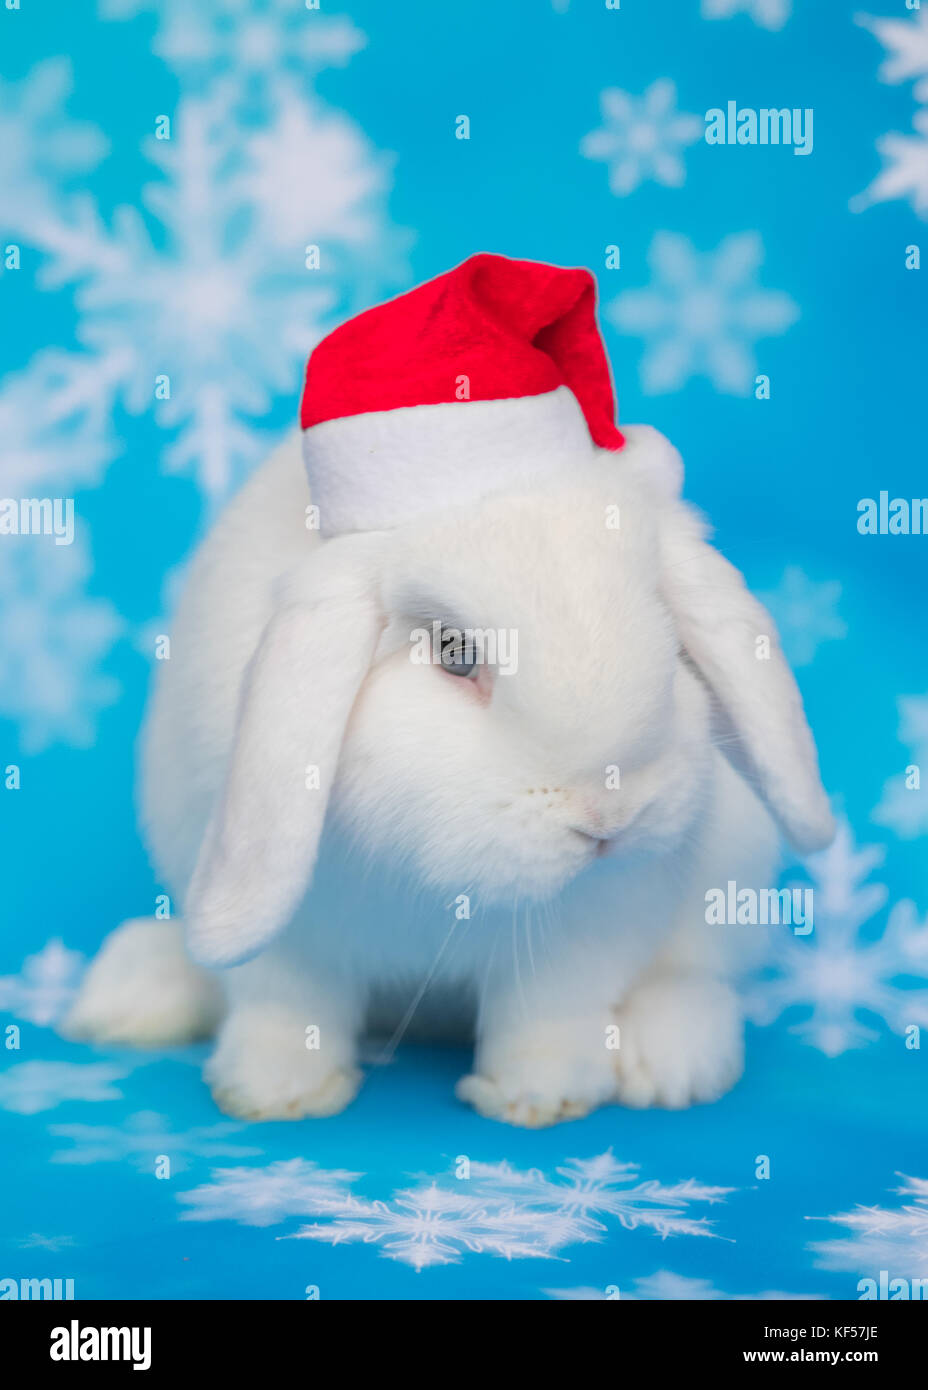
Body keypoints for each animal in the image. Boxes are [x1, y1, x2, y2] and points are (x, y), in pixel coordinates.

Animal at [63, 421, 834, 1127]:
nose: (612, 820)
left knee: (697, 974)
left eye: (669, 633)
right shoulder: (288, 937)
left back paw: (671, 1059)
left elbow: (550, 1009)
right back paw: (129, 994)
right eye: (456, 653)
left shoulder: (591, 925)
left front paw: (539, 1096)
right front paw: (275, 1092)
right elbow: (284, 1005)